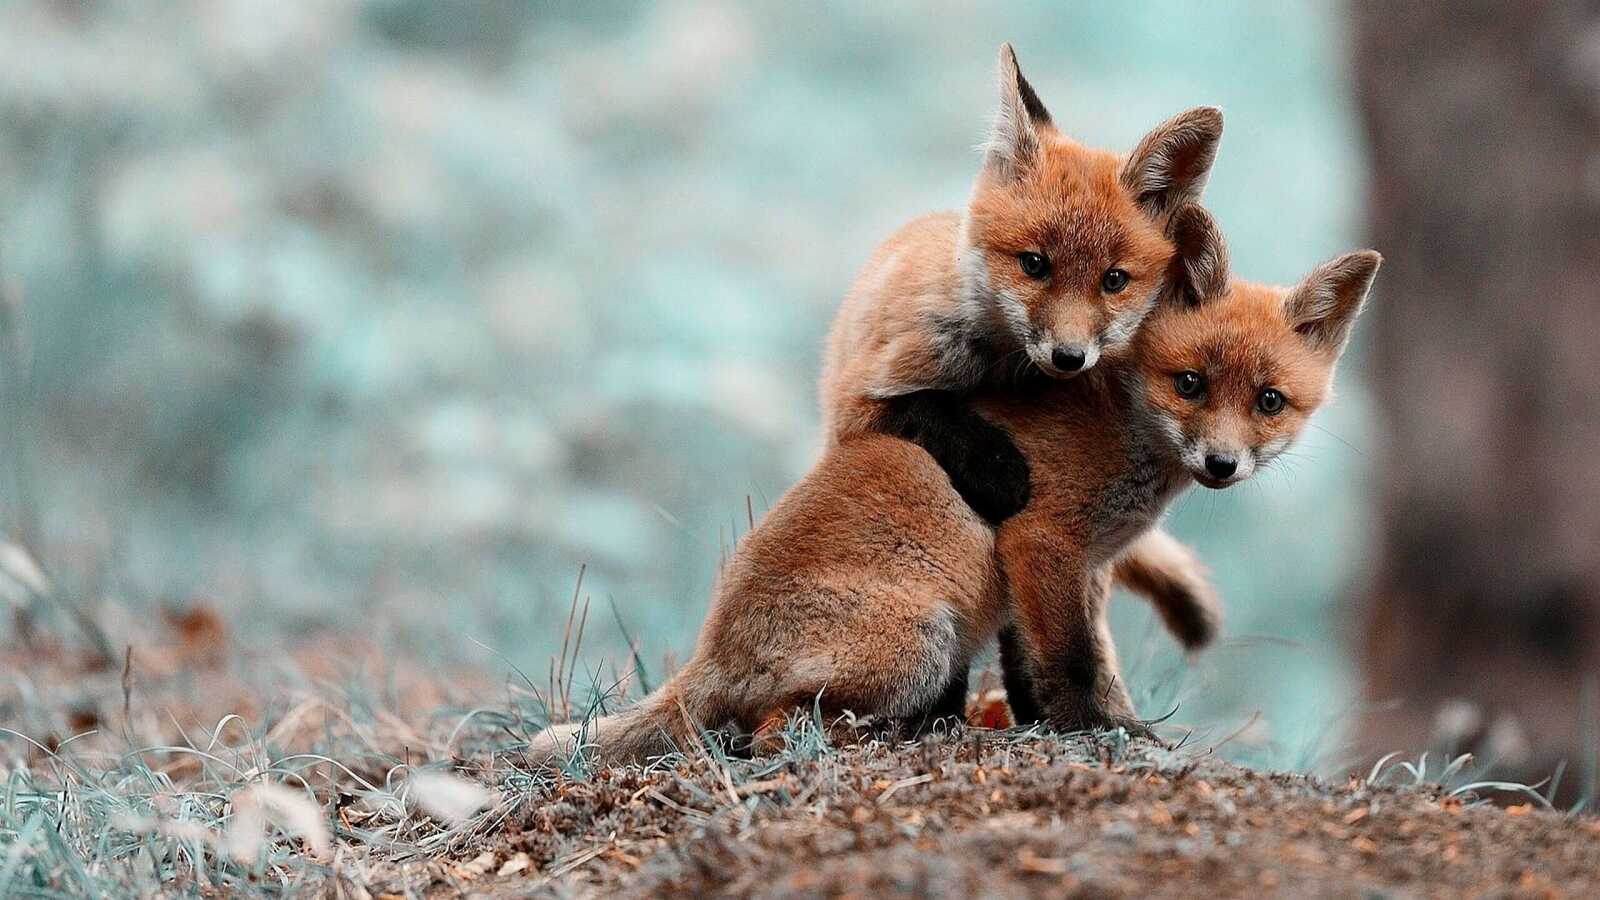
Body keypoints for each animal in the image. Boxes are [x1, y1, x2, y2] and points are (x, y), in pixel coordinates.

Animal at [530, 204, 1382, 761]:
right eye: (1191, 384)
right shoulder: (1042, 543)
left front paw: (1082, 723)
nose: (1222, 465)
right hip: (922, 643)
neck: (1122, 422)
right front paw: (1099, 732)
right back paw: (881, 734)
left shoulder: (1079, 570)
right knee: (768, 731)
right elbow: (1073, 664)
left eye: (1269, 401)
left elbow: (1058, 665)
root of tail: (713, 643)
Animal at [820, 44, 1227, 654]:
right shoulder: (863, 403)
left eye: (1114, 280)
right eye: (1035, 265)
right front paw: (999, 469)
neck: (999, 367)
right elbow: (927, 410)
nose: (1069, 356)